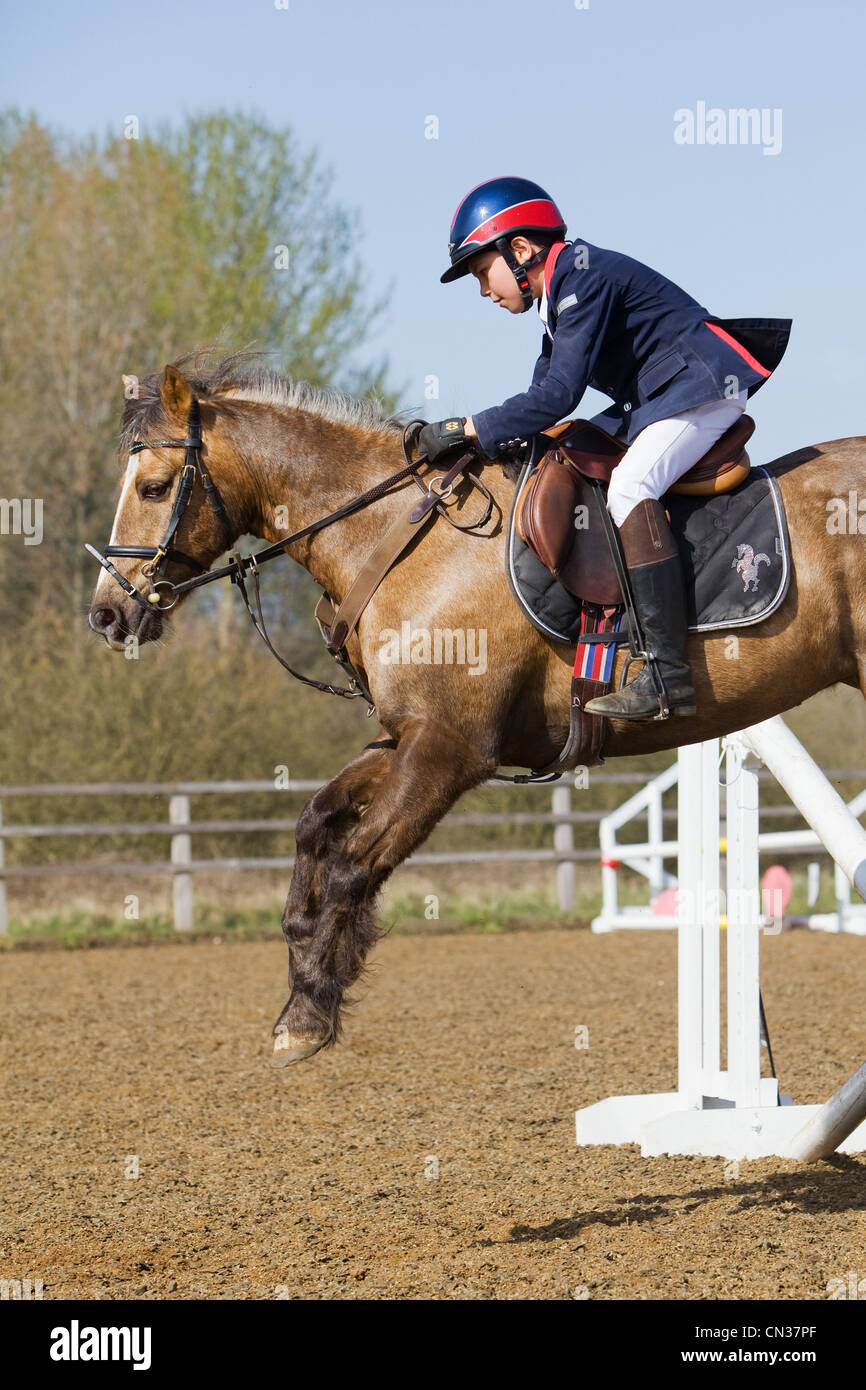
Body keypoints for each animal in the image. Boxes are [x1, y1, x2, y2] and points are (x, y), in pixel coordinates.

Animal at [88, 356, 866, 1064]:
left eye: (154, 487)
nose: (106, 615)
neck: (394, 535)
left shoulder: (450, 749)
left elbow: (352, 866)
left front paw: (309, 1014)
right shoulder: (406, 735)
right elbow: (315, 828)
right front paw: (309, 989)